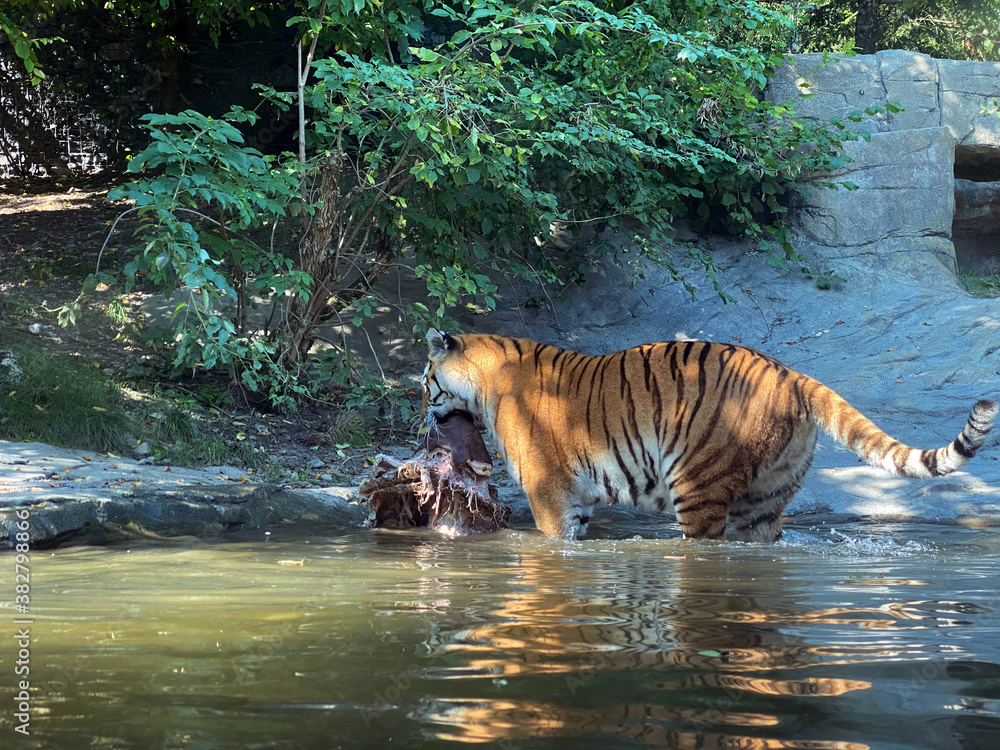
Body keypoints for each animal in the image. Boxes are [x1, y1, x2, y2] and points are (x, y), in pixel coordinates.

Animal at [420, 329, 997, 542]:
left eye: (426, 375)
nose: (421, 402)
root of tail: (791, 374)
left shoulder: (549, 490)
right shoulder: (576, 499)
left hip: (698, 483)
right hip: (764, 499)